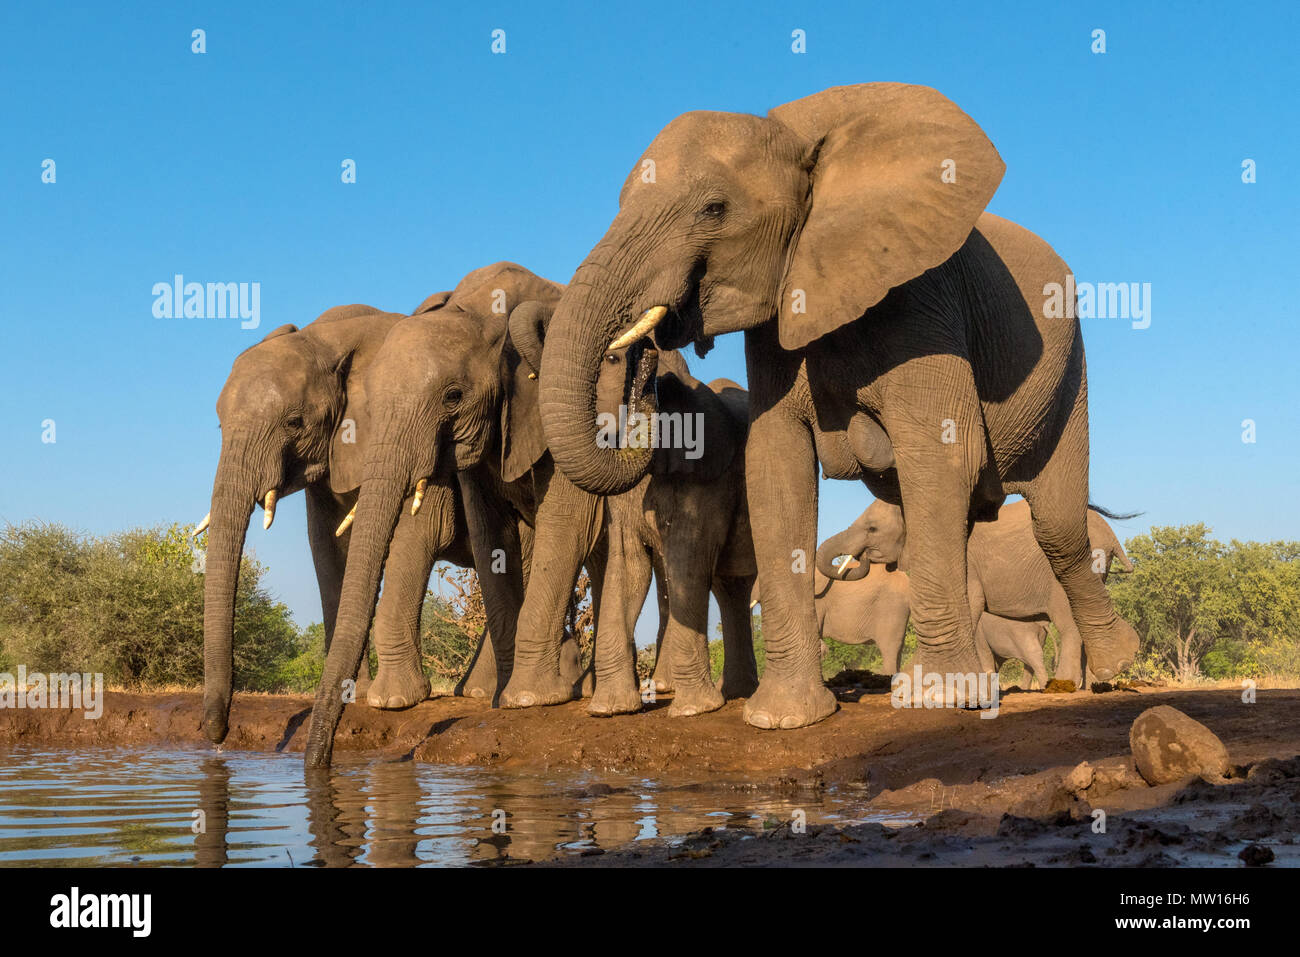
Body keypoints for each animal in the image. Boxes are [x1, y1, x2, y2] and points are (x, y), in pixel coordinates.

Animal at [198, 296, 495, 744]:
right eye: (219, 425)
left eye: (294, 423)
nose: (218, 734)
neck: (328, 340)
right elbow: (326, 545)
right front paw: (355, 695)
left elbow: (421, 528)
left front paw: (392, 701)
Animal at [816, 498, 1134, 685]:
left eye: (872, 528)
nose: (861, 558)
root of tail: (1112, 535)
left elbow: (967, 605)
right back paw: (1091, 683)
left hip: (1071, 566)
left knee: (1068, 620)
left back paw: (1065, 685)